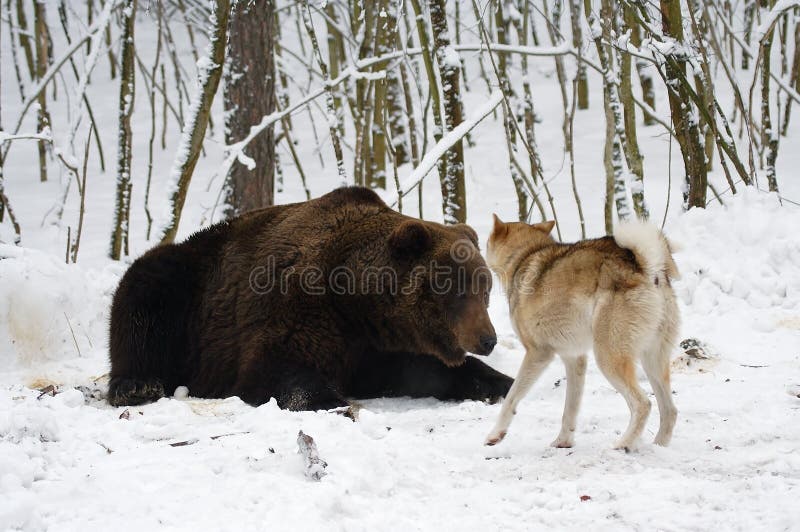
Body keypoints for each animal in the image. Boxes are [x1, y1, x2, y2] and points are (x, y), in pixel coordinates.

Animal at [108, 186, 512, 411]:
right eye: (457, 289)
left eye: (485, 289)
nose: (488, 339)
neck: (356, 301)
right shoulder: (299, 308)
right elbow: (277, 369)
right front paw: (332, 400)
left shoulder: (382, 345)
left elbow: (432, 372)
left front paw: (503, 383)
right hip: (185, 293)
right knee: (143, 300)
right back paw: (137, 385)